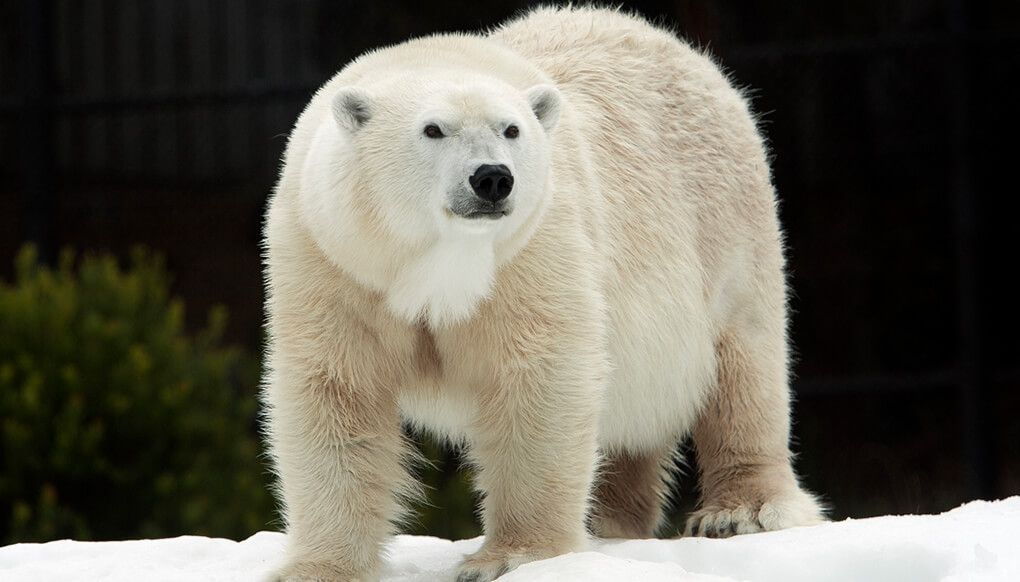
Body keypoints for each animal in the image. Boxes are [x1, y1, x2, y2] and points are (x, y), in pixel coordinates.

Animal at [261, 6, 824, 582]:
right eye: (433, 129)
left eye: (511, 129)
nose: (491, 178)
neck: (437, 264)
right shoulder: (337, 260)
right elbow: (335, 390)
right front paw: (319, 568)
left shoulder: (534, 248)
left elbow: (540, 377)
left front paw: (511, 556)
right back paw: (610, 521)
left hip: (722, 225)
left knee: (742, 360)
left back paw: (741, 511)